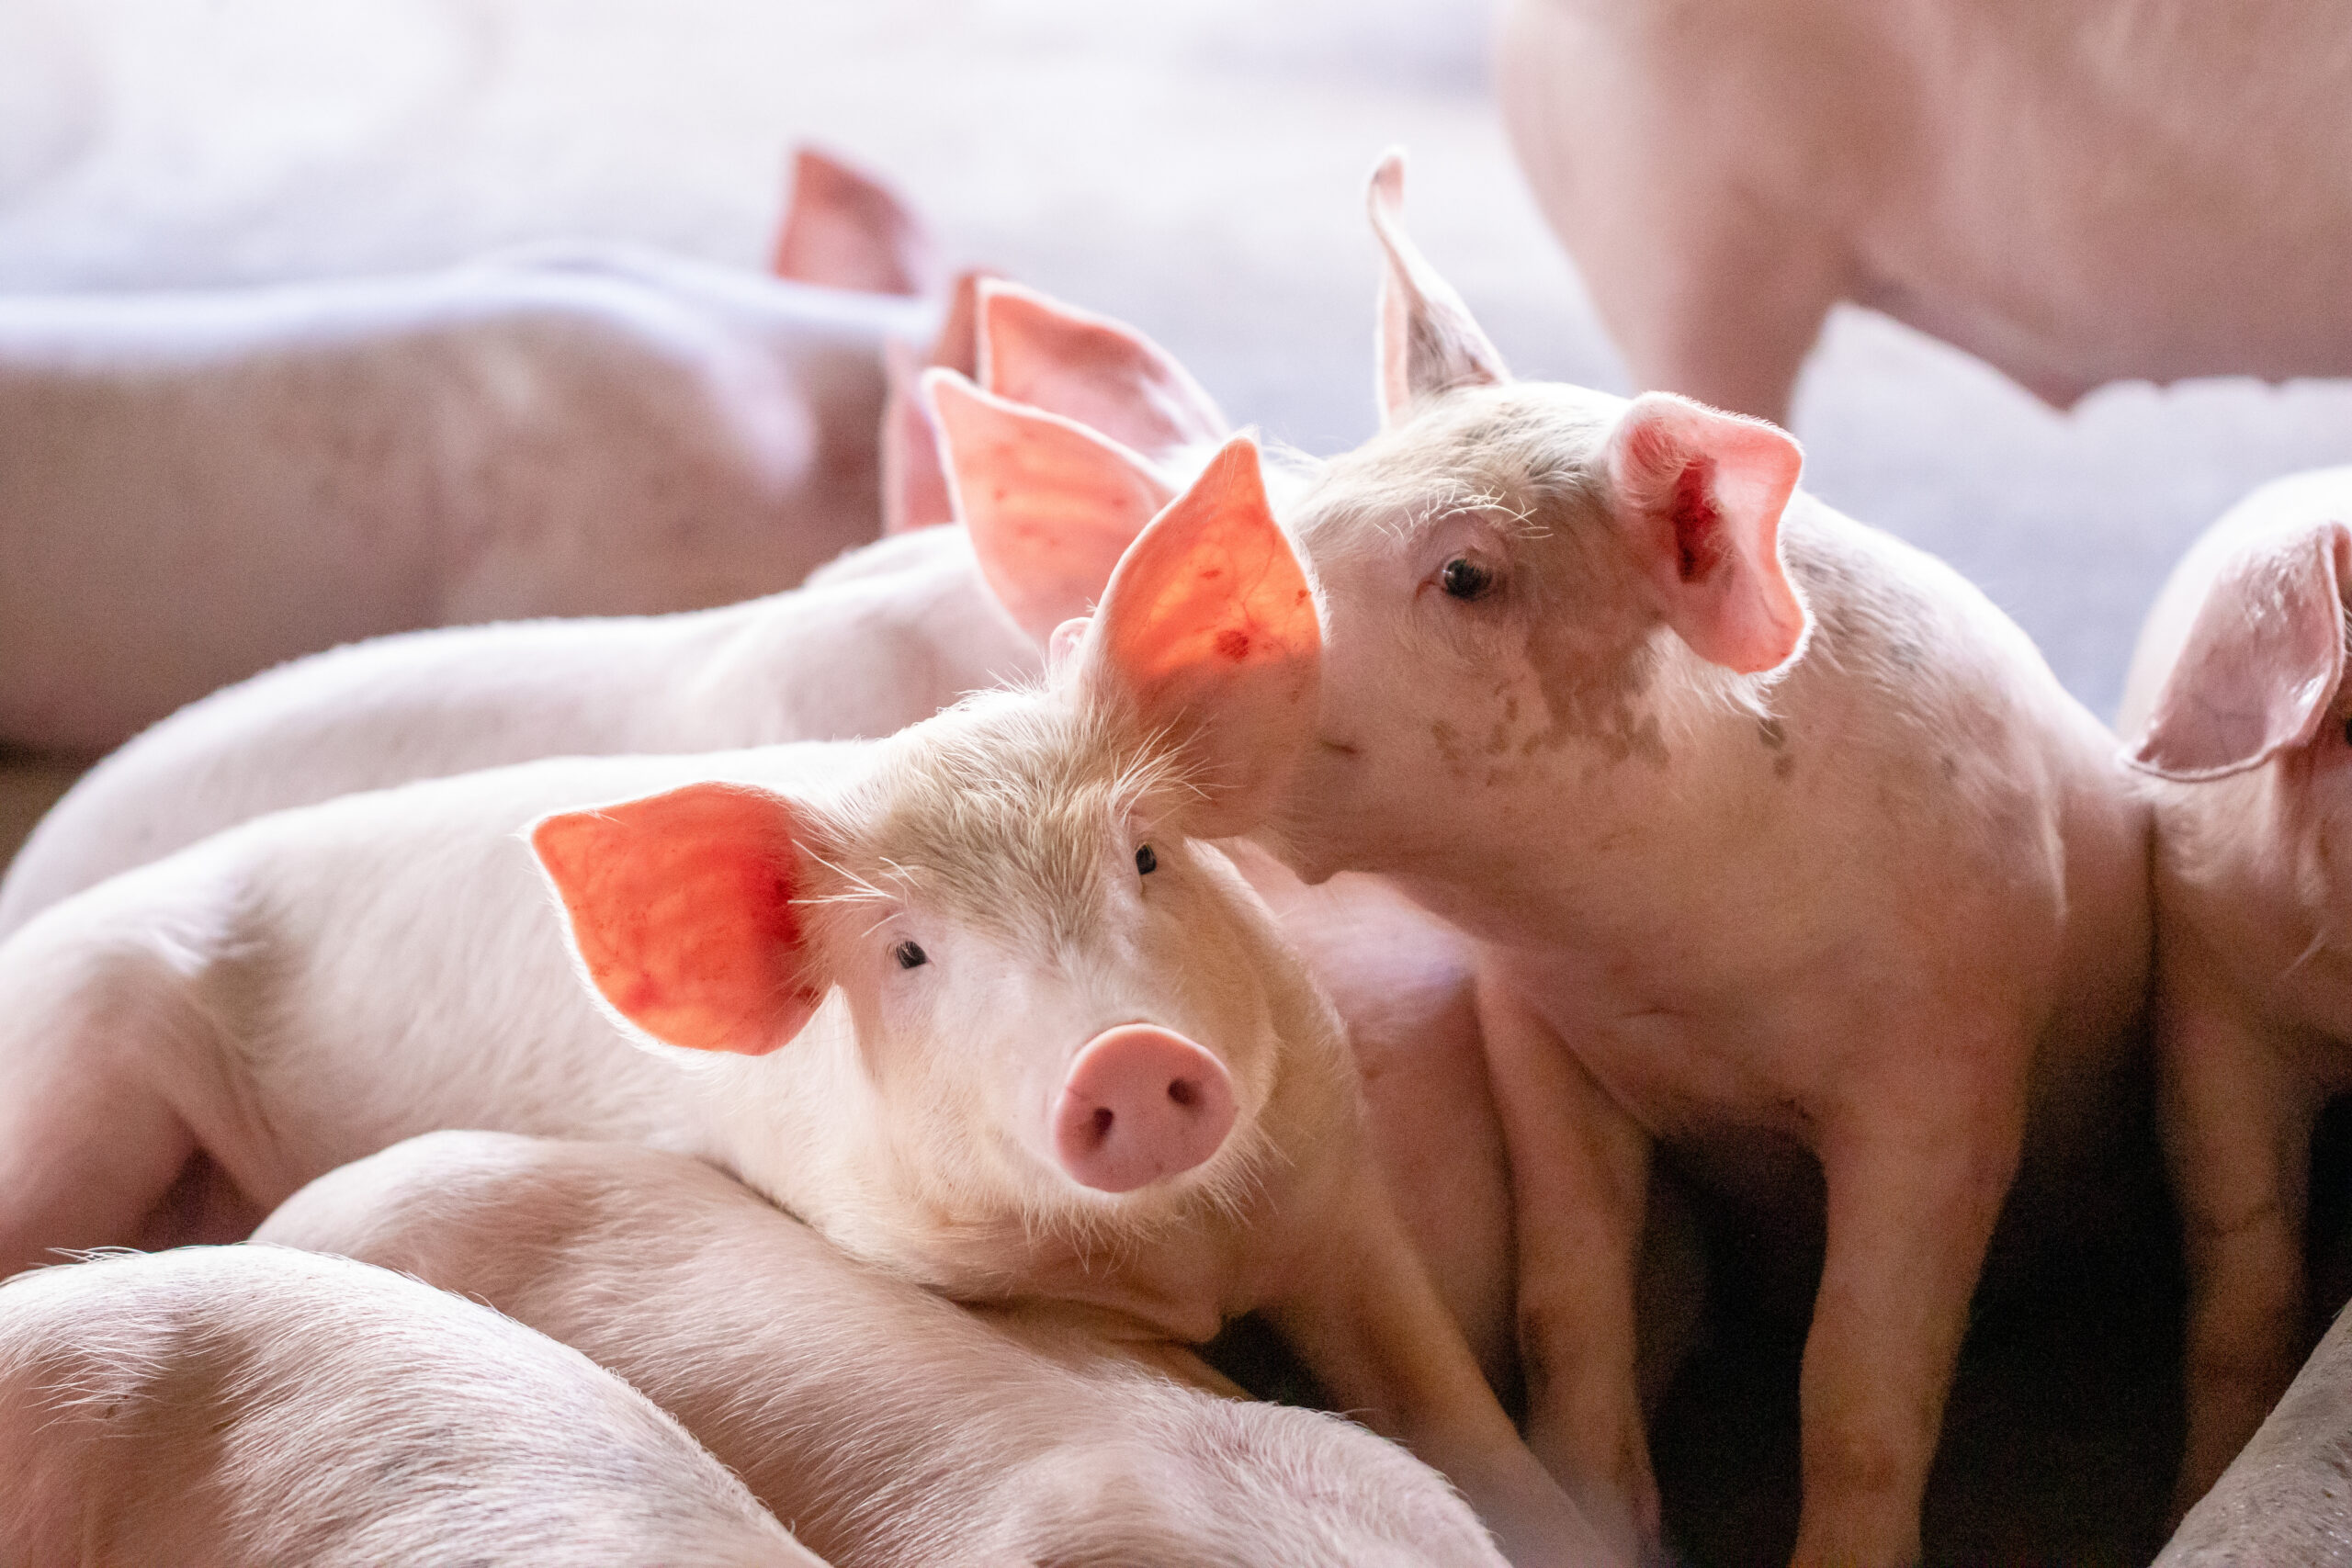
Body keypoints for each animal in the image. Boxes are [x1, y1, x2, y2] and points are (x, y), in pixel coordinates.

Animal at [1159, 153, 2145, 1567]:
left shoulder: (1952, 1071)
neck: (1684, 982)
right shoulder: (1538, 1034)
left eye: (1467, 574)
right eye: (1306, 500)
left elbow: (1859, 1380)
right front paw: (1596, 1519)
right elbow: (1566, 1305)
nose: (1129, 622)